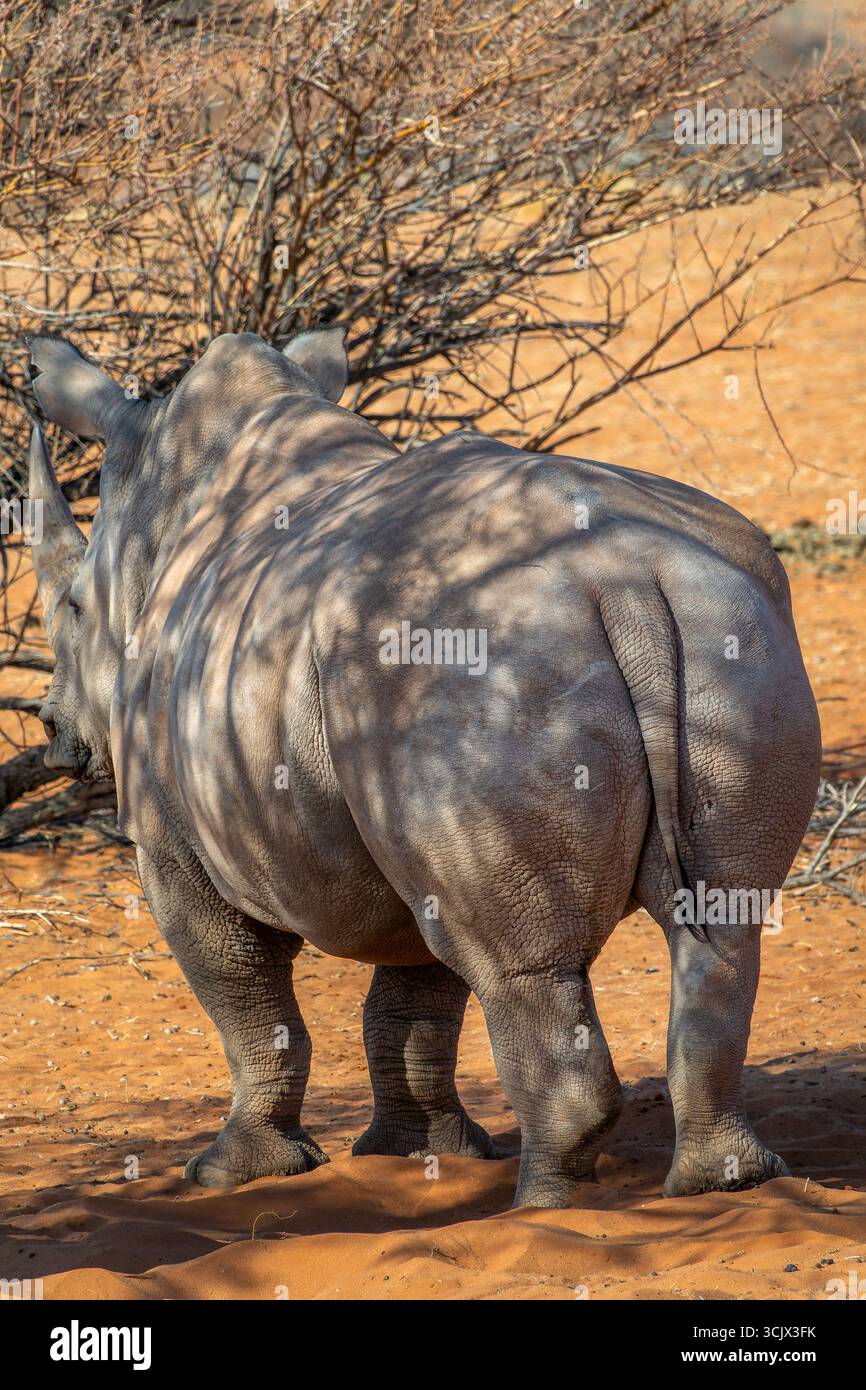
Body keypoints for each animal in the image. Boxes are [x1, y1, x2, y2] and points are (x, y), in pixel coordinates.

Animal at [24, 328, 821, 1208]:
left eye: (71, 608)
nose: (54, 729)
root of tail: (625, 580)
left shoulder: (169, 840)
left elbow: (247, 999)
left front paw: (233, 1172)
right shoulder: (398, 824)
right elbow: (412, 1001)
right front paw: (417, 1154)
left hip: (474, 667)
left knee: (518, 968)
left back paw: (543, 1210)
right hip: (725, 628)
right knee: (722, 927)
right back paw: (722, 1185)